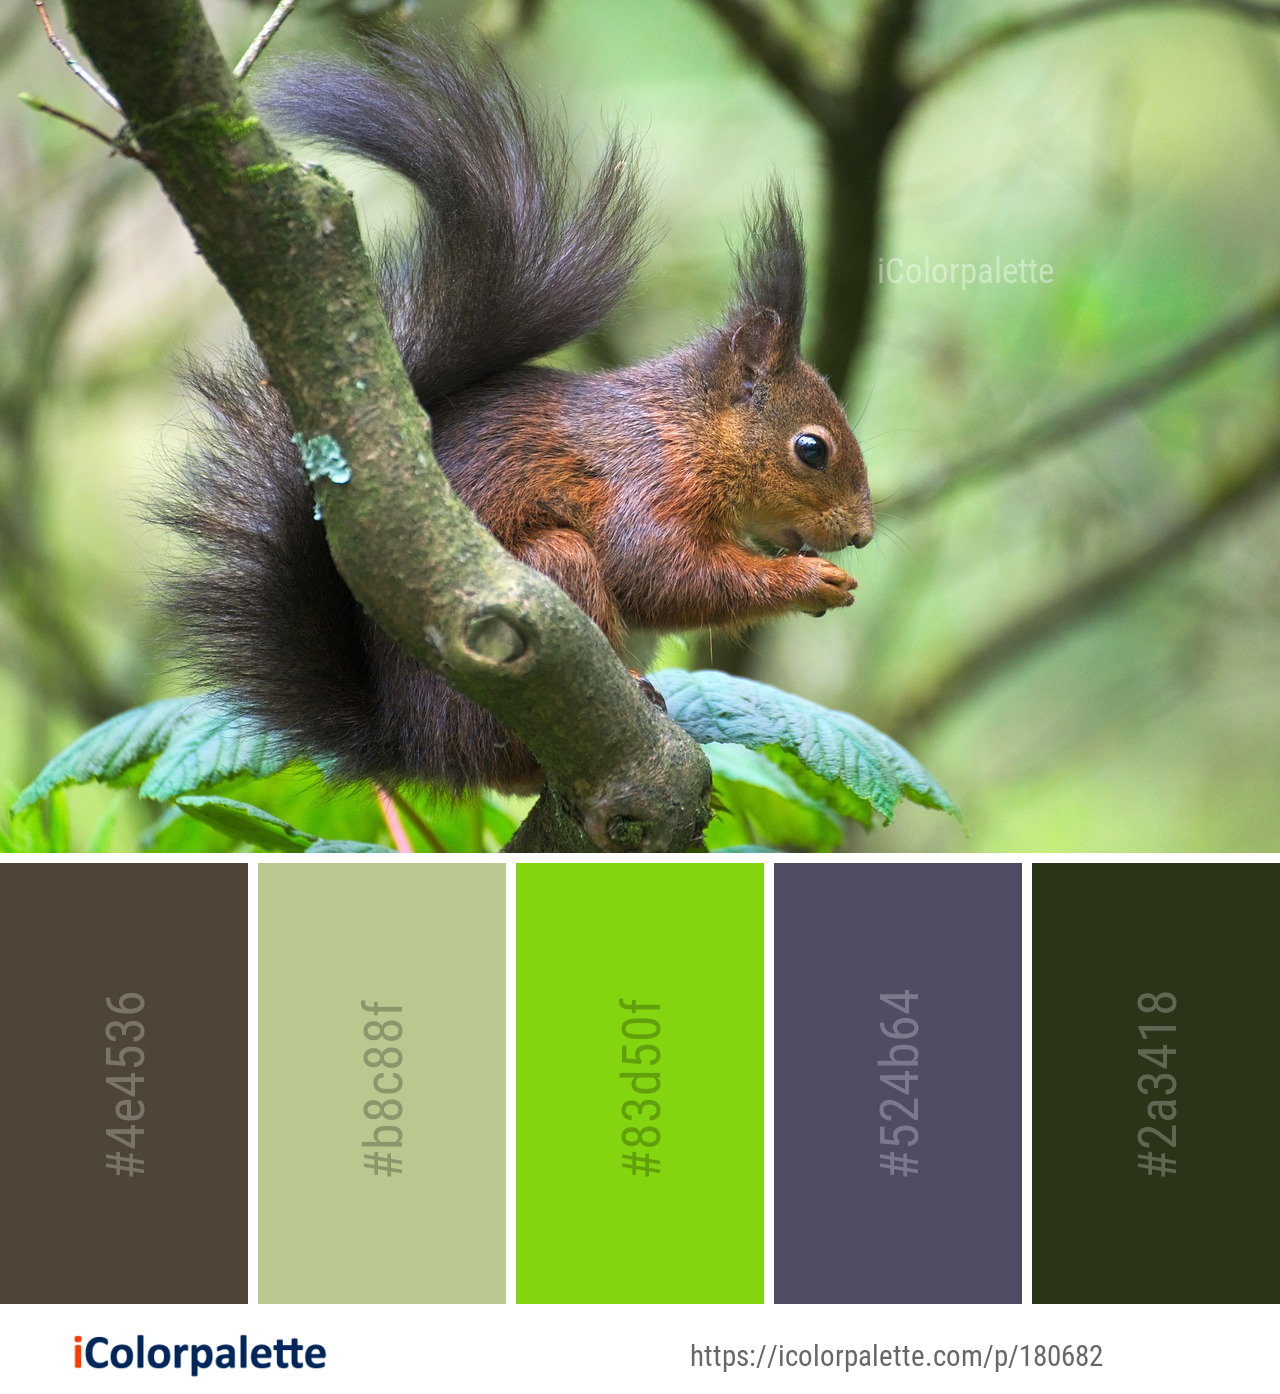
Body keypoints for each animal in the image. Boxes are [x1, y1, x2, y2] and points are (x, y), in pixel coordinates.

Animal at [156, 35, 874, 796]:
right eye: (812, 449)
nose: (860, 534)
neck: (687, 431)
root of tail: (417, 746)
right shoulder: (642, 483)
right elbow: (660, 574)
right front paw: (810, 581)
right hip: (543, 587)